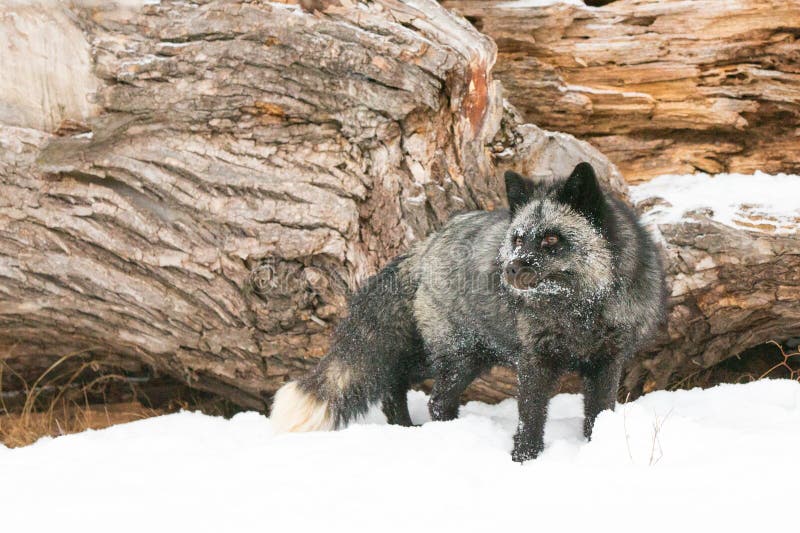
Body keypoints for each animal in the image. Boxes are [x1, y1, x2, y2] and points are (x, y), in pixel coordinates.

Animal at [270, 162, 666, 461]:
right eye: (518, 239)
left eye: (551, 239)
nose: (509, 268)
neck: (579, 314)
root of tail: (426, 245)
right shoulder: (534, 361)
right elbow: (530, 417)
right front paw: (525, 460)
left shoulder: (607, 362)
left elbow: (597, 415)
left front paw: (594, 450)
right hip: (458, 358)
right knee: (433, 400)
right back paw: (440, 432)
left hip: (452, 356)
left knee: (393, 379)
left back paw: (404, 427)